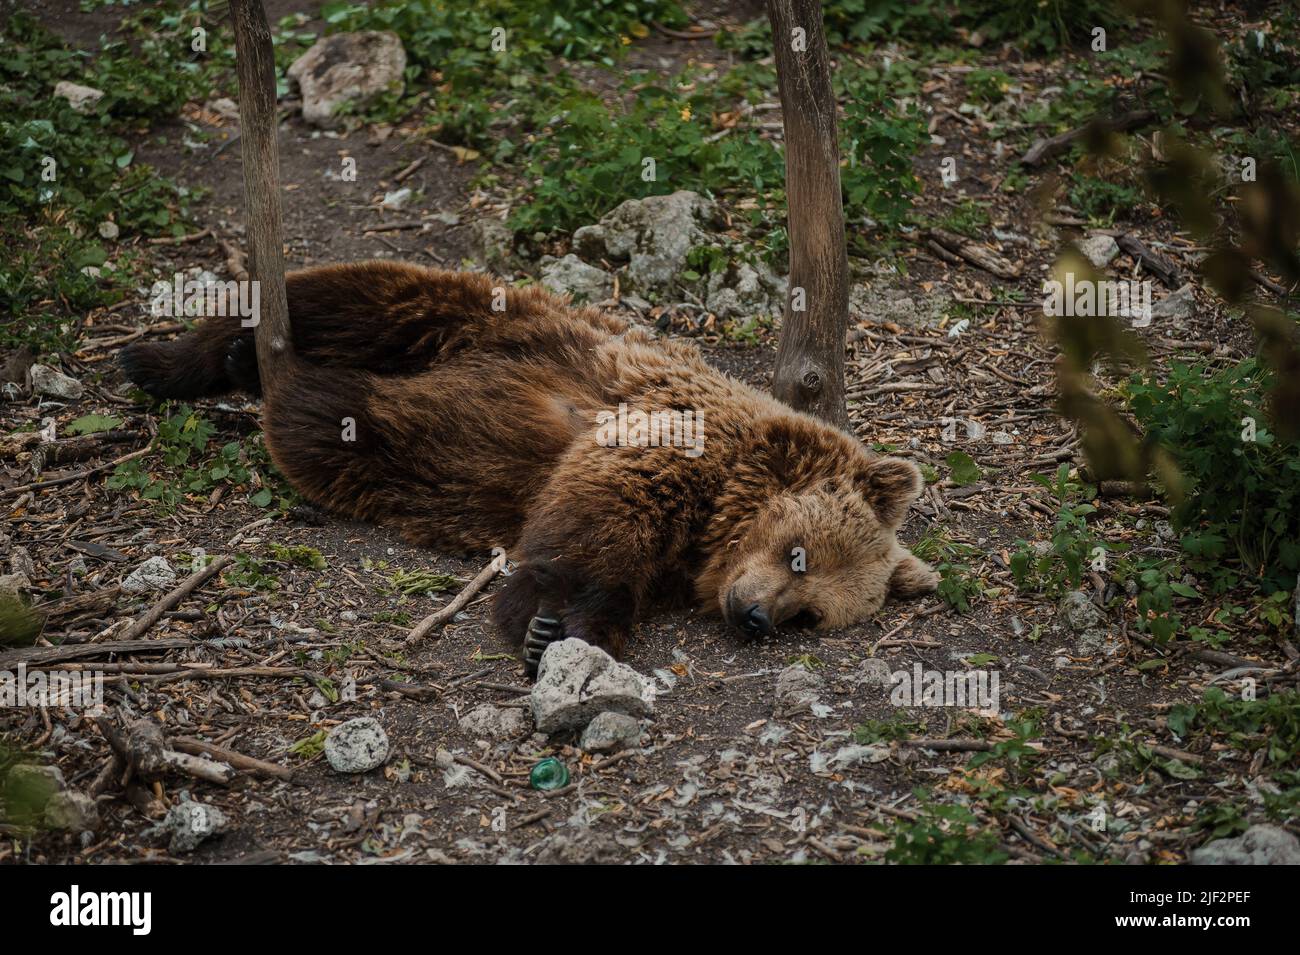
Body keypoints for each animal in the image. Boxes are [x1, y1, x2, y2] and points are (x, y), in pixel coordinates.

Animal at [120, 261, 938, 674]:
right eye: (801, 554)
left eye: (813, 615)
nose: (759, 617)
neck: (716, 525)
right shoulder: (669, 434)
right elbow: (595, 522)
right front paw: (546, 618)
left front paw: (567, 630)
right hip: (486, 314)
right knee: (337, 300)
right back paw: (183, 358)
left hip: (400, 451)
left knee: (333, 424)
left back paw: (263, 374)